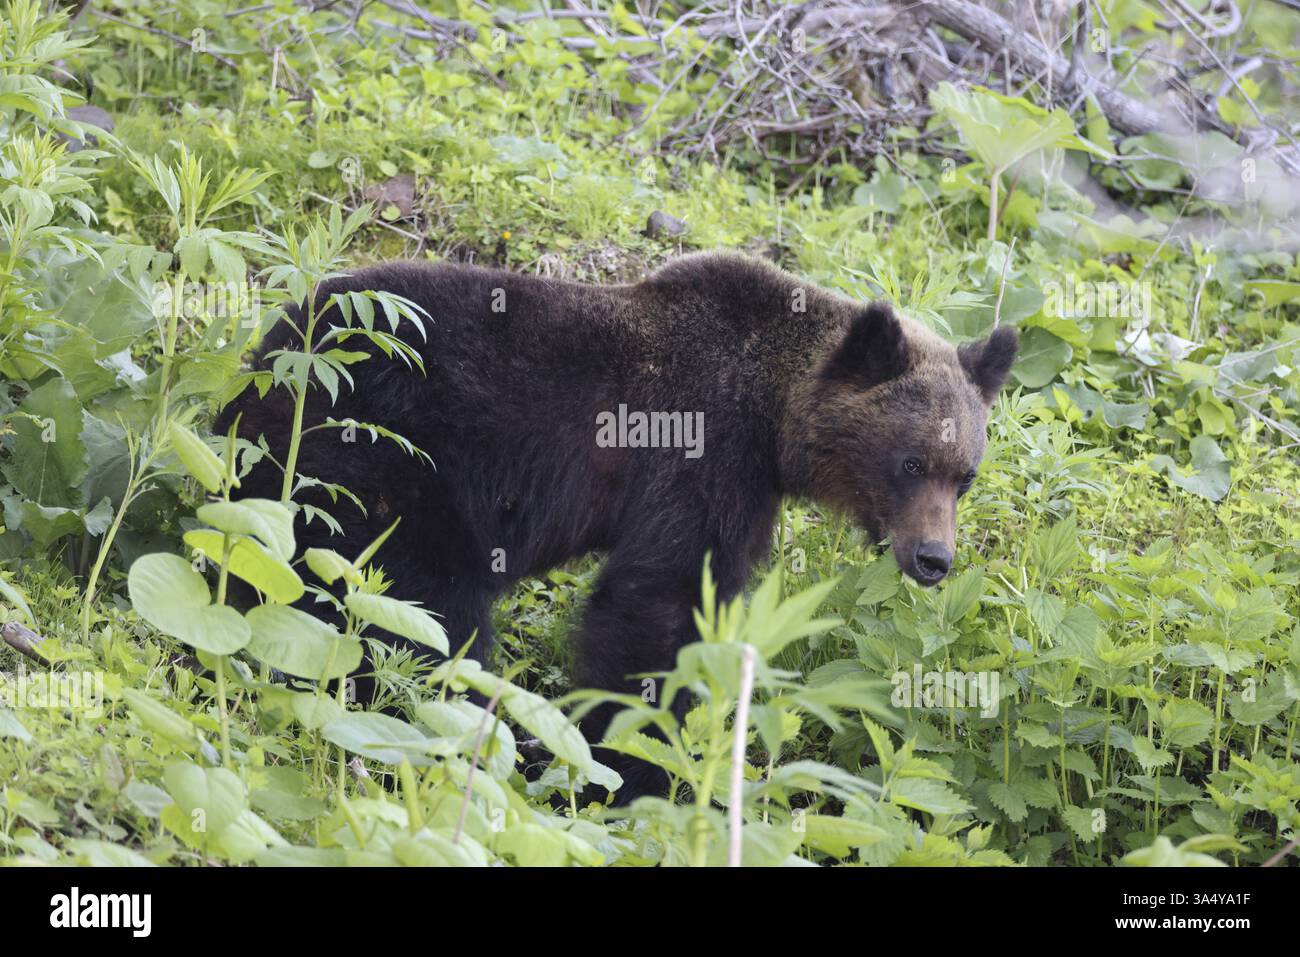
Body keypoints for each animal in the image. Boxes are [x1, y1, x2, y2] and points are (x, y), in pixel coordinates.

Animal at [215, 251, 1017, 801]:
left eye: (965, 474)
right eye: (911, 462)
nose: (934, 557)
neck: (774, 411)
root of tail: (265, 362)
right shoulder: (701, 449)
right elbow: (658, 603)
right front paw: (630, 764)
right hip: (380, 455)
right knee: (414, 611)